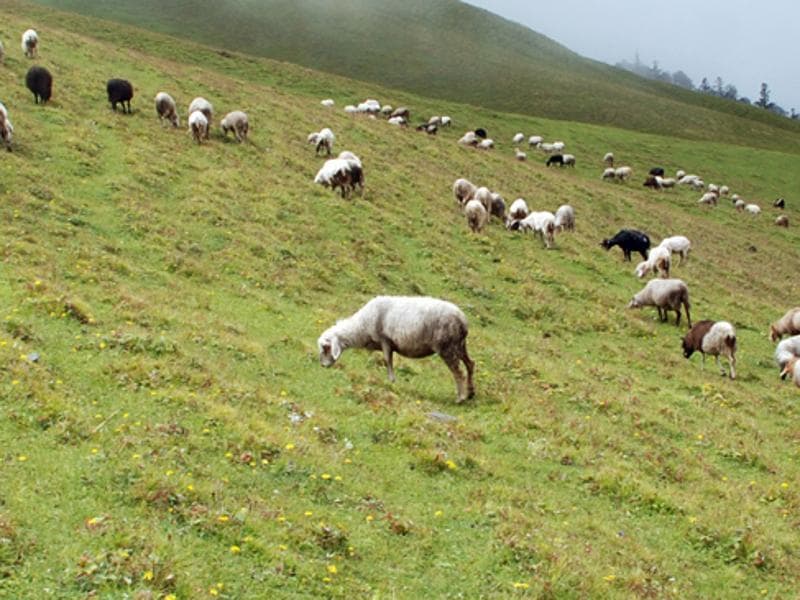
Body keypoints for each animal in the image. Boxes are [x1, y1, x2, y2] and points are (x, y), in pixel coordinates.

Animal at [317, 296, 475, 402]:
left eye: (326, 348)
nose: (322, 366)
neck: (361, 327)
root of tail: (463, 321)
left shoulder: (385, 340)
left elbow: (388, 361)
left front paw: (391, 381)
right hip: (460, 345)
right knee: (470, 364)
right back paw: (471, 393)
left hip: (447, 347)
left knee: (458, 372)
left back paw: (461, 398)